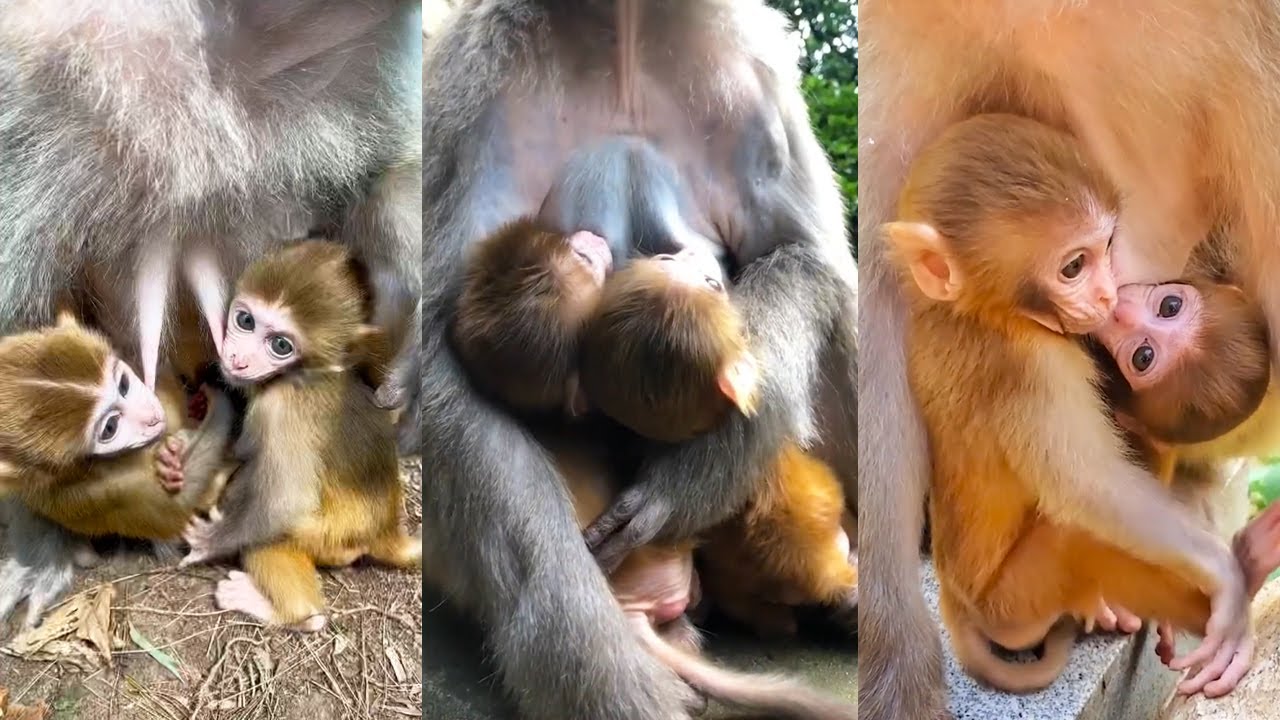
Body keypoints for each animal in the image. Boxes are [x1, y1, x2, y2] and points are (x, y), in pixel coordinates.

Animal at [176, 240, 418, 633]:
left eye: (280, 346)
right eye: (245, 321)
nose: (238, 359)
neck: (301, 374)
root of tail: (387, 531)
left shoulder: (280, 408)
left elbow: (284, 499)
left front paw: (208, 542)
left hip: (329, 536)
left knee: (270, 531)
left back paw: (292, 612)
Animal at [853, 3, 1280, 710]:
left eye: (1166, 307)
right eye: (1075, 266)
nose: (1113, 302)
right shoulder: (1034, 365)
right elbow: (1086, 481)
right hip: (1013, 599)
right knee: (1082, 540)